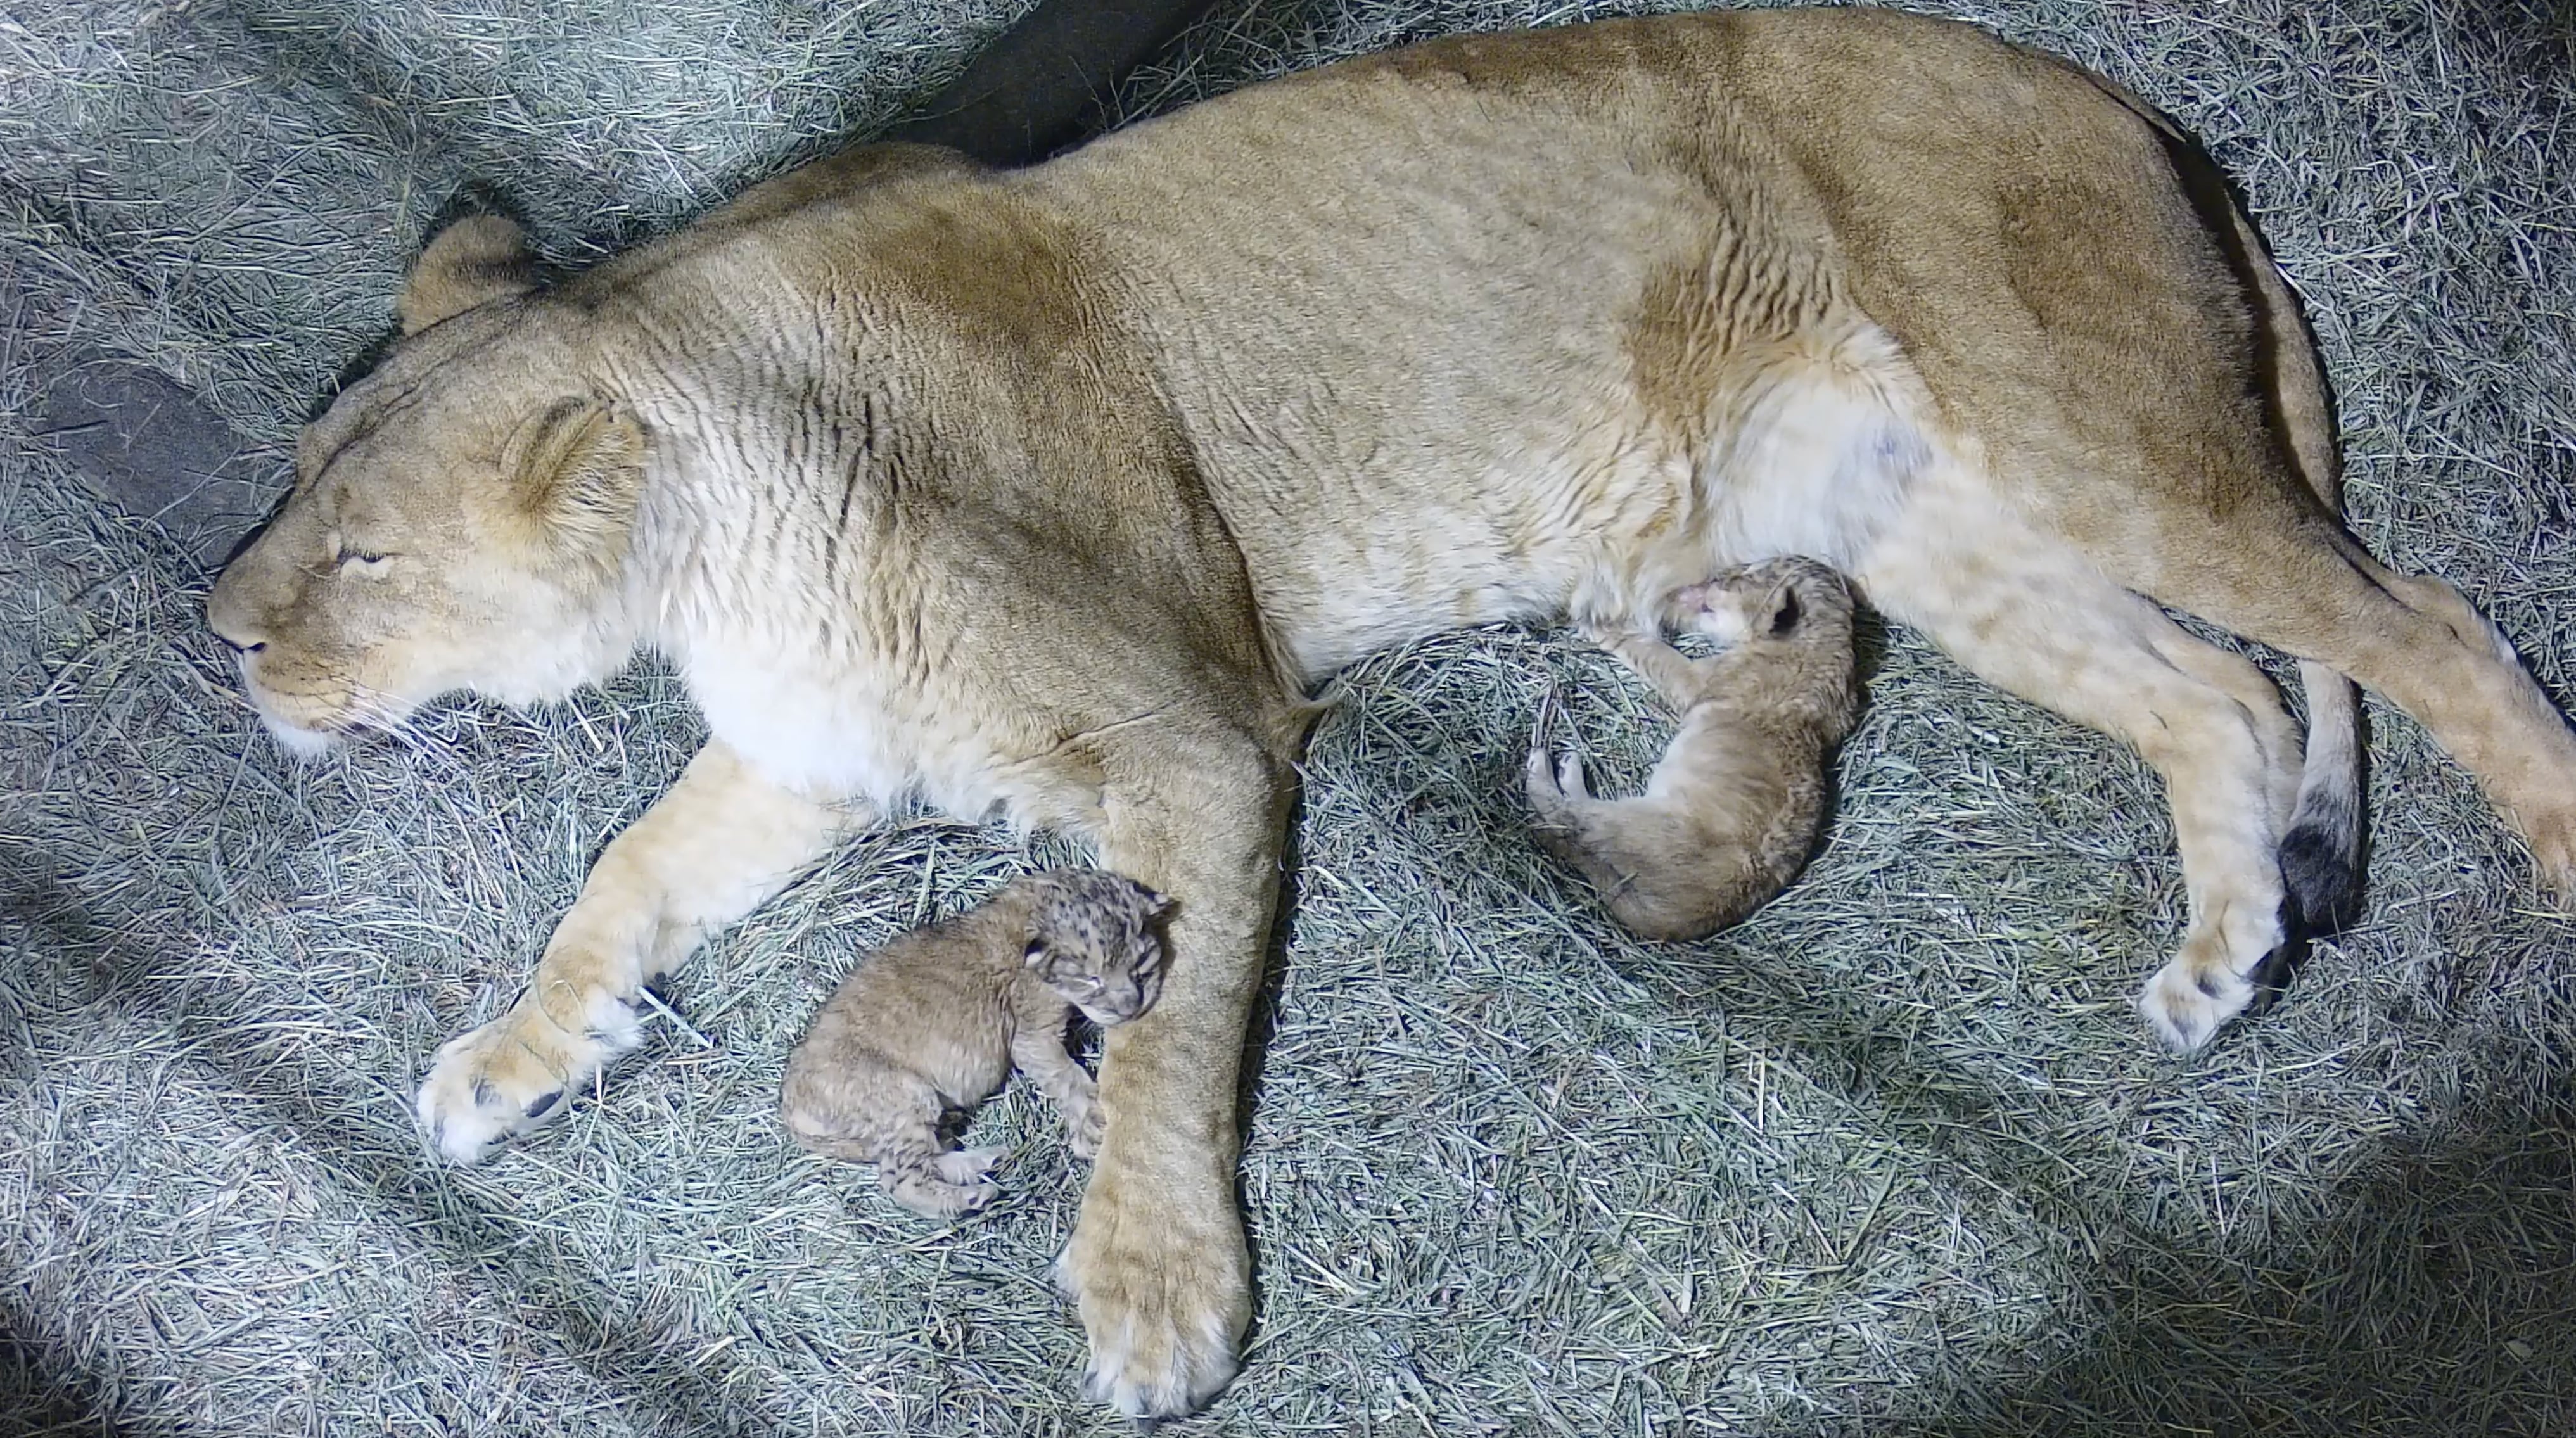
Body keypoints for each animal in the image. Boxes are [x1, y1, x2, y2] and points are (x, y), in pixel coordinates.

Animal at [204, 9, 2576, 1418]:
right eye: (294, 487)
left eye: (360, 558)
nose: (218, 633)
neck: (717, 512)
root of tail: (2108, 91)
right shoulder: (808, 741)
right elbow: (618, 882)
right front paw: (514, 1055)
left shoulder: (1193, 735)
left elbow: (1163, 1041)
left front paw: (1154, 1296)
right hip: (1938, 531)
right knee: (2217, 695)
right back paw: (2219, 952)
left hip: (2105, 439)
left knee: (2425, 623)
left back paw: (2544, 852)